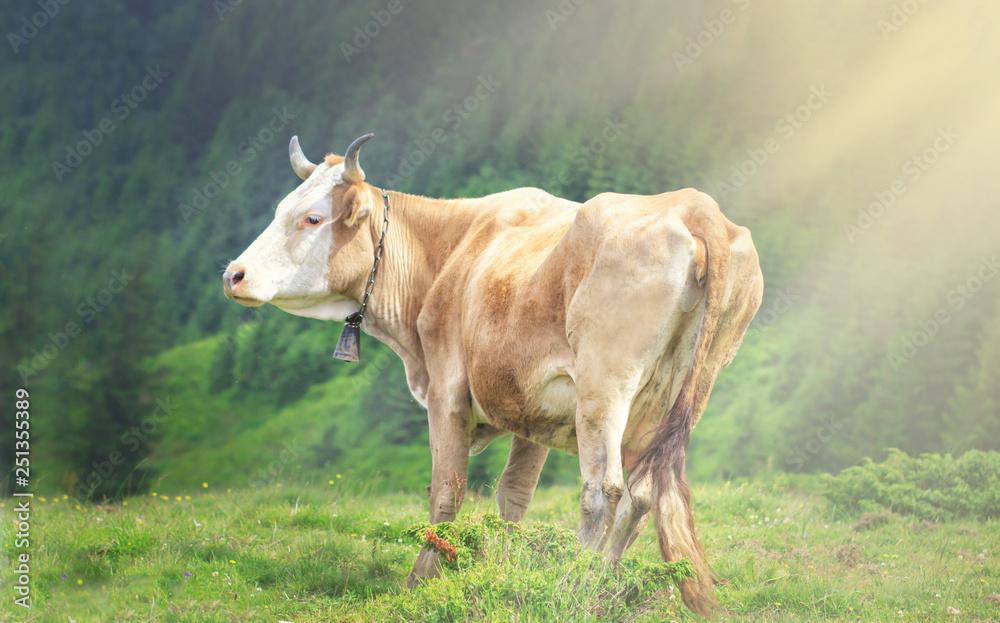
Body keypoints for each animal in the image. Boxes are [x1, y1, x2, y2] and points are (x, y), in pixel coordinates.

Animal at [223, 134, 764, 616]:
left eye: (312, 218)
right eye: (279, 210)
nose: (233, 274)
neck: (447, 255)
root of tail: (695, 205)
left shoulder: (446, 390)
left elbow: (446, 491)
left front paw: (421, 580)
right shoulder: (536, 408)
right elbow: (514, 494)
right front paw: (503, 574)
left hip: (605, 386)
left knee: (603, 491)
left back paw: (576, 587)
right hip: (683, 394)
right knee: (643, 493)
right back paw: (605, 587)